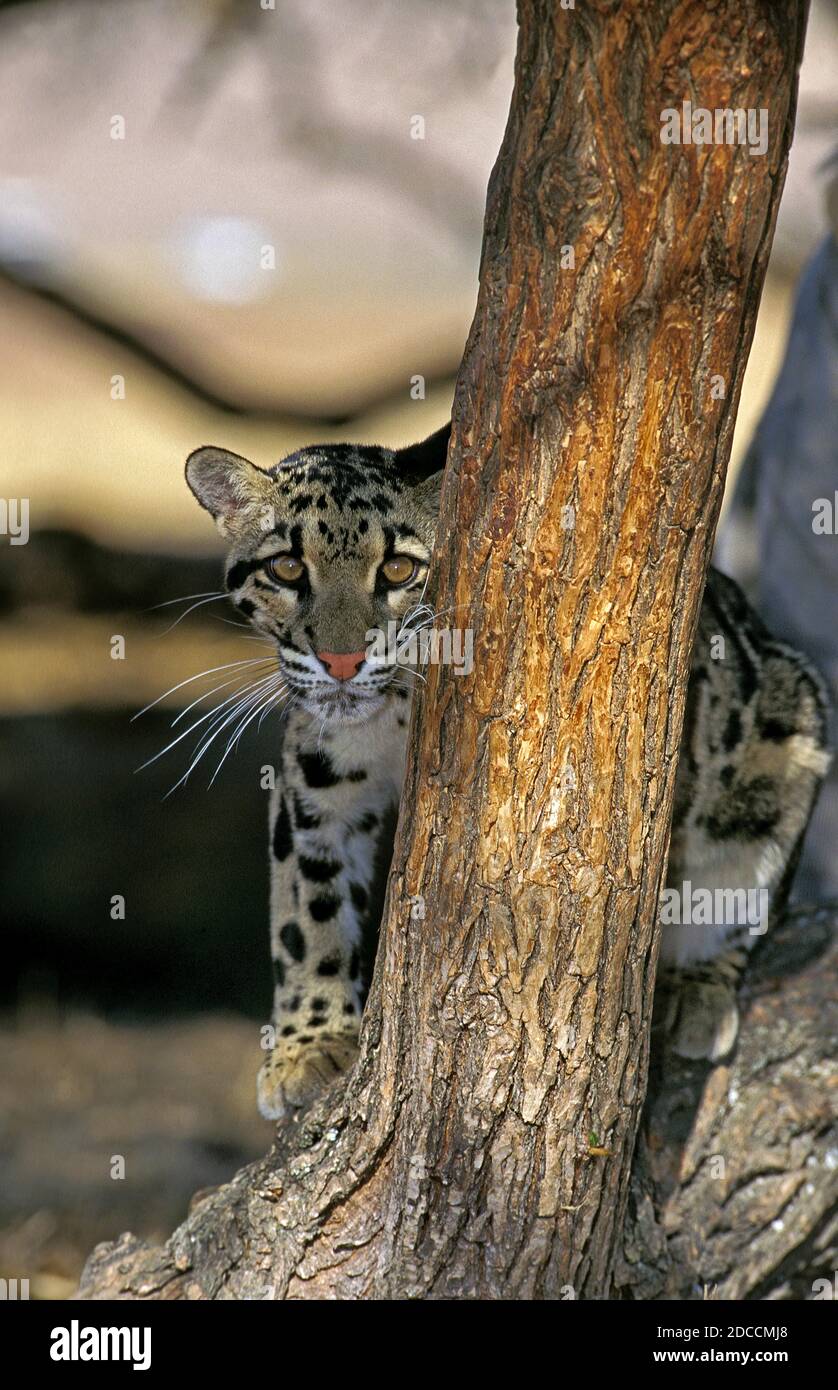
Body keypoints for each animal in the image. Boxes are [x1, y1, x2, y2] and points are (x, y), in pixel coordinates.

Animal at [184, 422, 830, 1119]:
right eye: (286, 567)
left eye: (399, 568)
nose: (342, 661)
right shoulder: (315, 778)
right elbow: (306, 906)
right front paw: (308, 1044)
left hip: (794, 724)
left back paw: (696, 989)